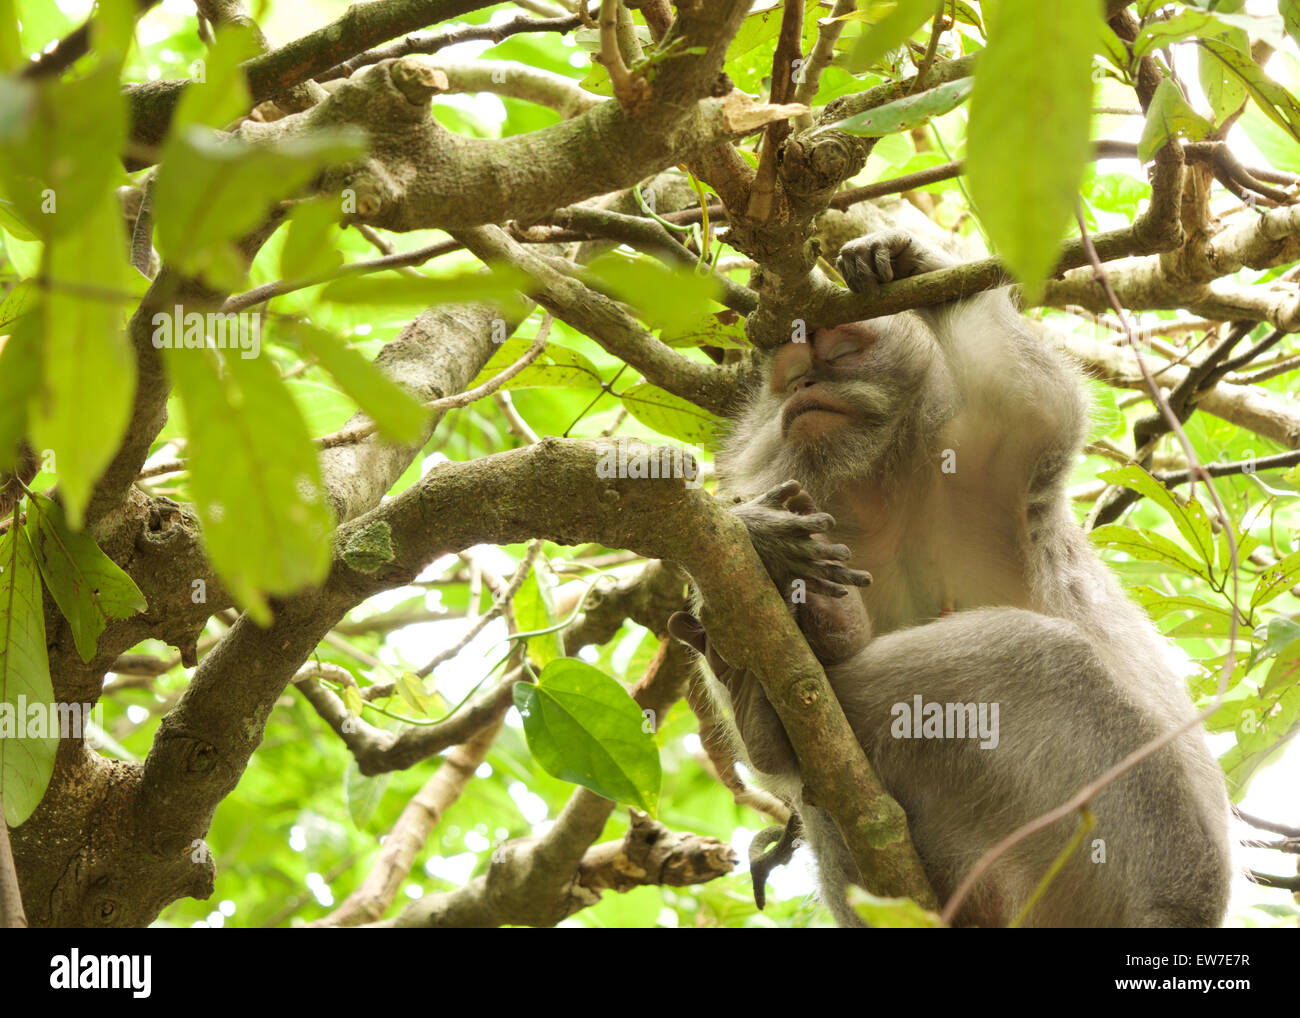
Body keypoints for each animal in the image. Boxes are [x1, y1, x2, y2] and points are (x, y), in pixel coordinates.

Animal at [670, 229, 1234, 928]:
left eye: (843, 350)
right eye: (788, 375)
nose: (804, 380)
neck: (885, 496)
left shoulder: (993, 459)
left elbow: (1035, 400)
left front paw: (911, 262)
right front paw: (760, 532)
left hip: (1136, 841)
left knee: (1041, 656)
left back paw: (785, 704)